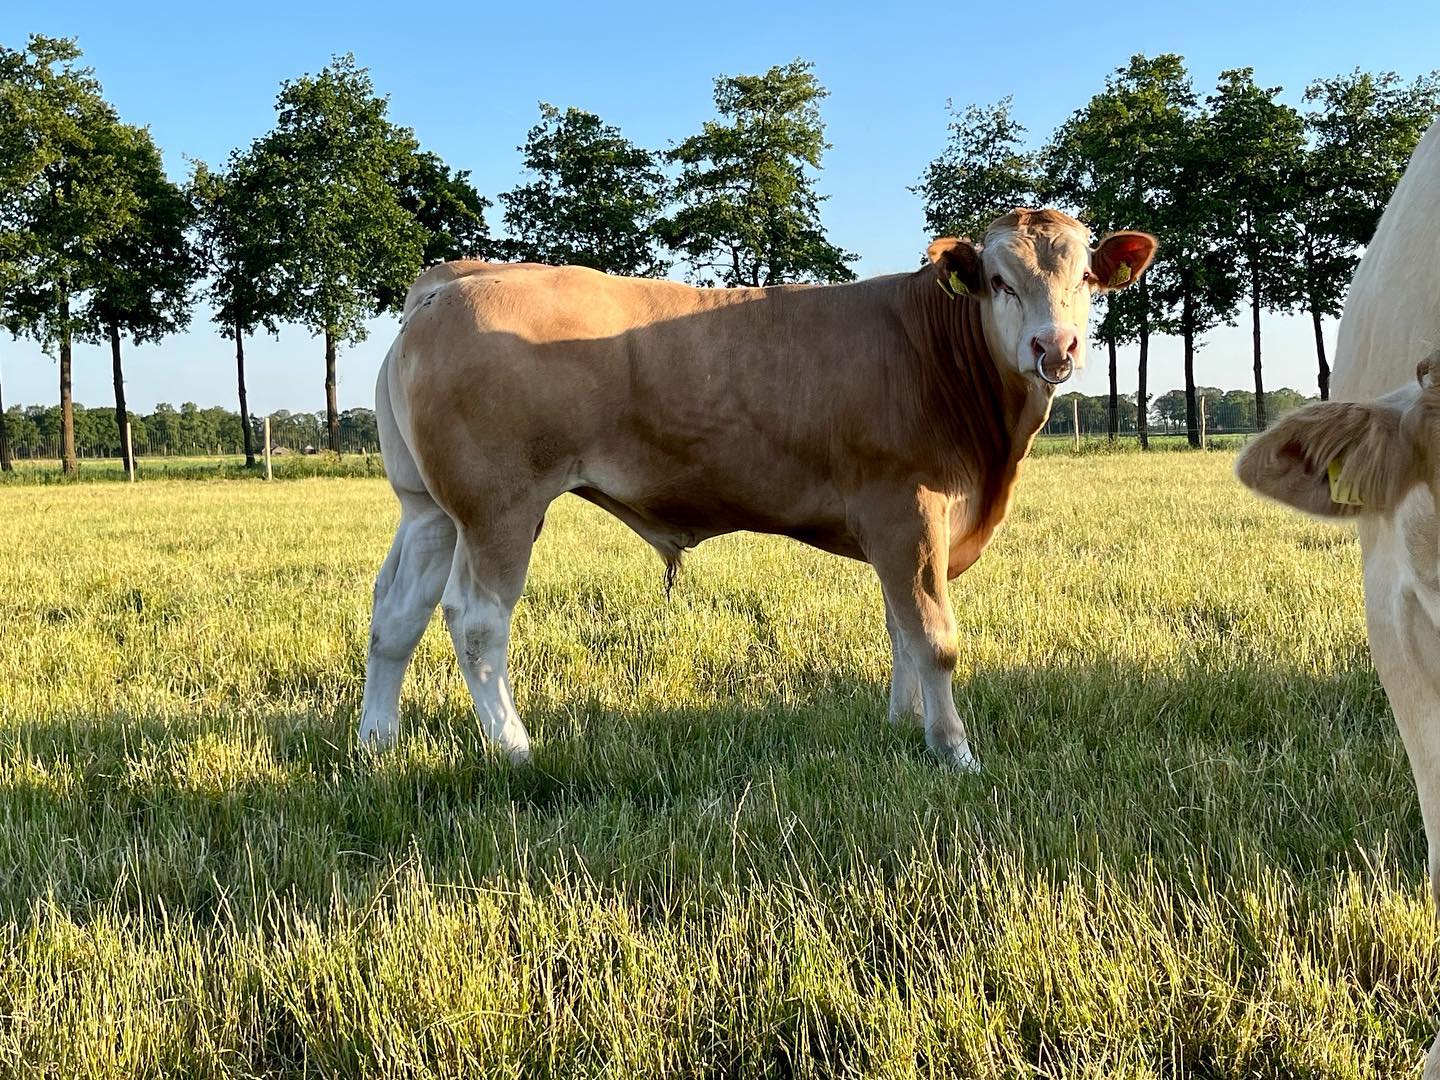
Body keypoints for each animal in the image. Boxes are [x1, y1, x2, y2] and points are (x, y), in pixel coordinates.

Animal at [357, 208, 1157, 769]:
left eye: (1085, 280)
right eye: (999, 281)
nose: (1055, 347)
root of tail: (456, 277)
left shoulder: (899, 530)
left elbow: (900, 627)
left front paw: (903, 727)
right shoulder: (906, 509)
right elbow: (933, 636)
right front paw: (955, 751)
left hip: (427, 507)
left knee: (396, 612)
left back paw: (377, 743)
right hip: (498, 503)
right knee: (477, 621)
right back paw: (516, 749)